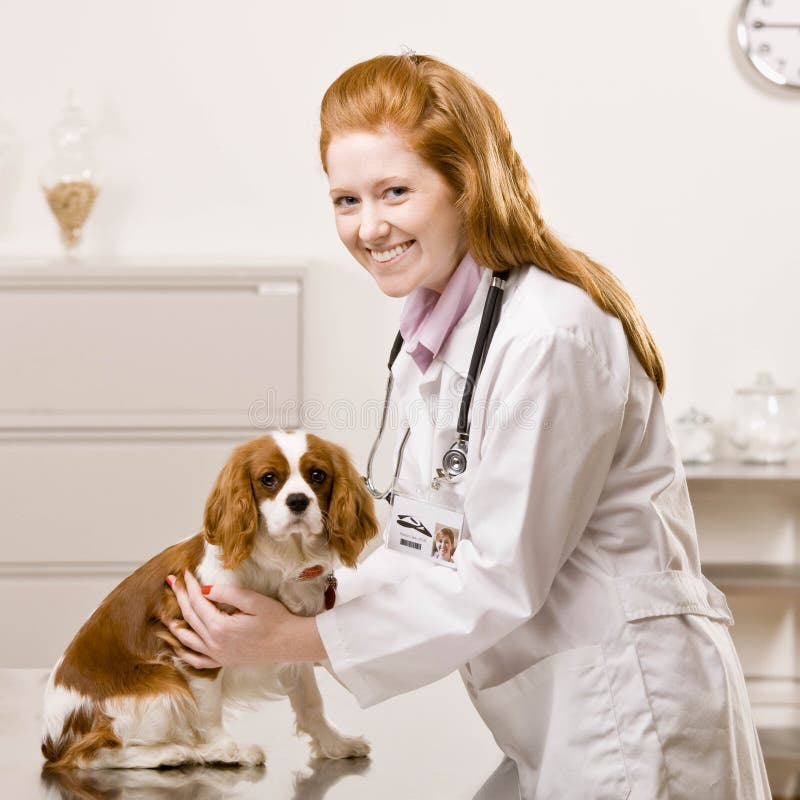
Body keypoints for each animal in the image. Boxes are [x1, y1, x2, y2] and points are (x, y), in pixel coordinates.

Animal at [42, 432, 380, 768]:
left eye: (318, 475)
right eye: (269, 479)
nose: (298, 500)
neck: (281, 561)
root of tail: (52, 739)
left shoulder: (287, 641)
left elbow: (311, 702)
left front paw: (333, 743)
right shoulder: (197, 644)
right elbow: (208, 711)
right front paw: (225, 749)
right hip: (164, 684)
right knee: (91, 753)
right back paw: (174, 752)